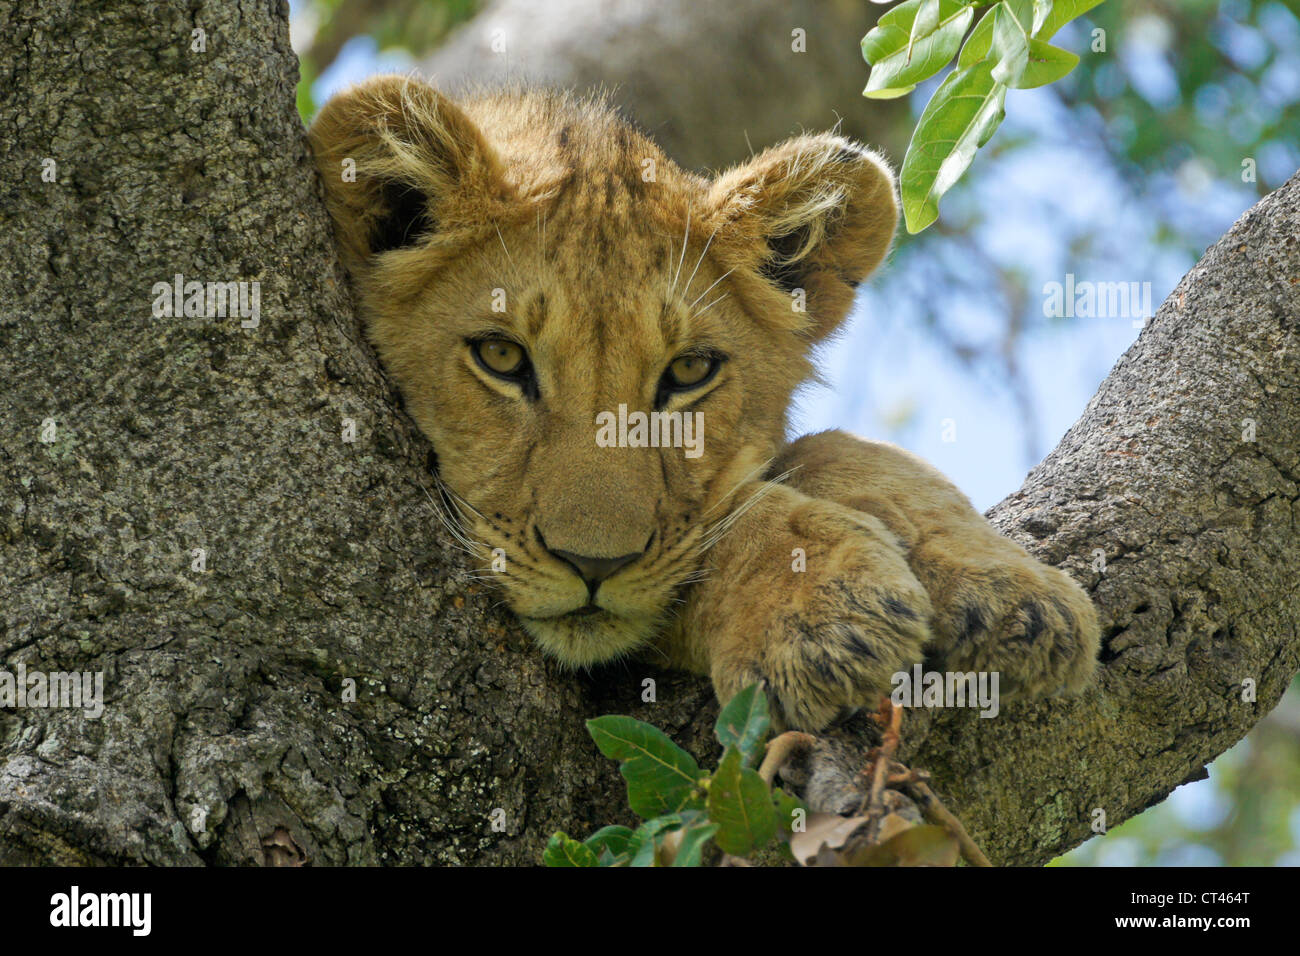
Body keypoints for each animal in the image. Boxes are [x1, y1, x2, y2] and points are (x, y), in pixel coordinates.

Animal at [308, 75, 1100, 730]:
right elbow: (724, 538)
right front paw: (822, 617)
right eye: (501, 358)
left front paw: (1010, 593)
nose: (592, 566)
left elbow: (841, 451)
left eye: (689, 371)